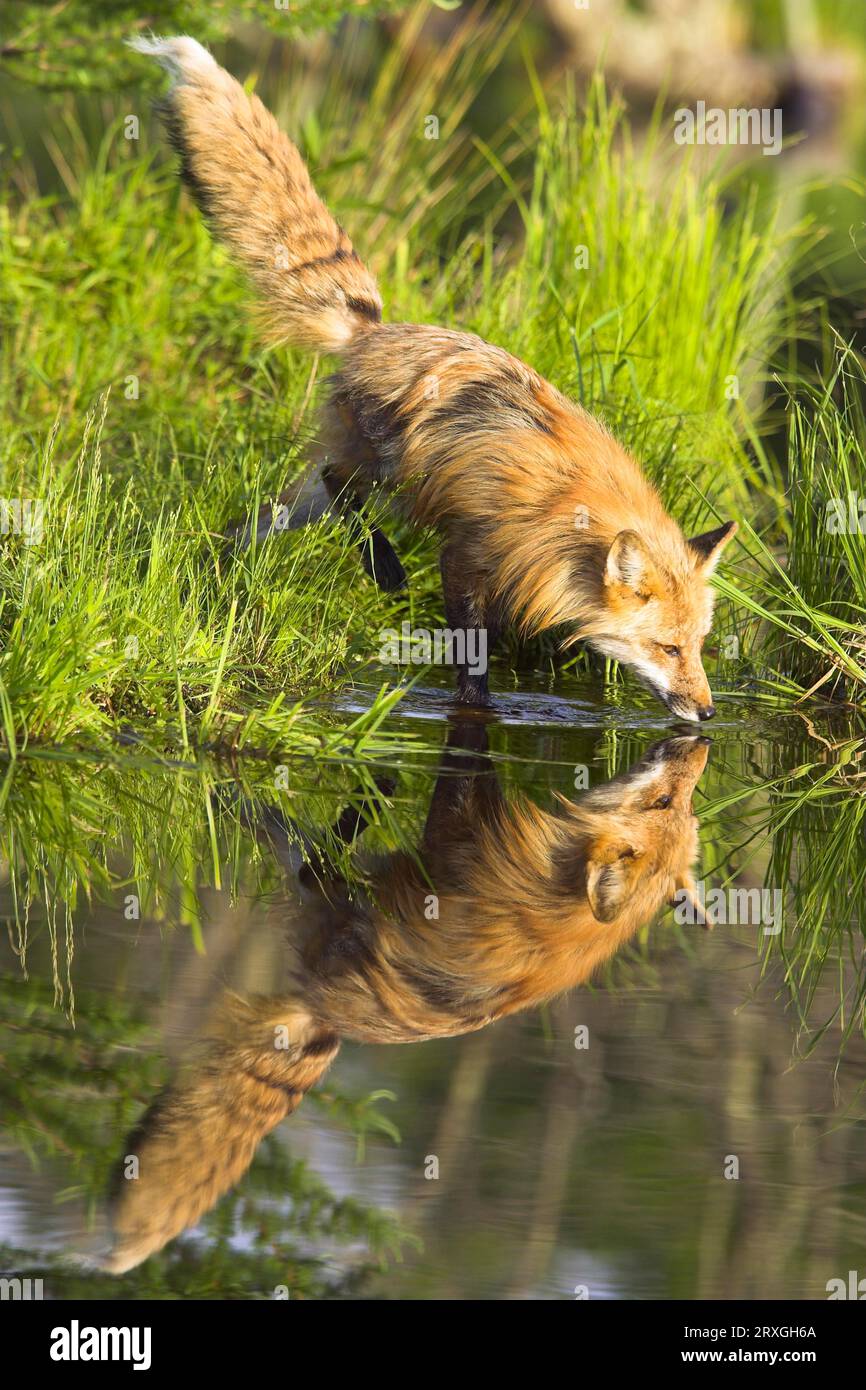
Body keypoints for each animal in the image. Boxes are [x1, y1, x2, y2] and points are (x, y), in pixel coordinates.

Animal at [102, 723, 711, 1272]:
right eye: (675, 804)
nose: (697, 743)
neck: (559, 903)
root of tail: (327, 1016)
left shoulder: (456, 840)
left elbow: (467, 745)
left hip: (343, 900)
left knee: (311, 861)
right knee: (305, 848)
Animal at [130, 35, 737, 719]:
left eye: (699, 645)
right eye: (667, 648)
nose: (709, 713)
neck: (567, 513)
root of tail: (374, 328)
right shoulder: (468, 550)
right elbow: (471, 652)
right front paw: (475, 707)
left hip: (309, 505)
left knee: (257, 522)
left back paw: (209, 568)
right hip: (384, 465)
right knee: (339, 483)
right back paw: (383, 567)